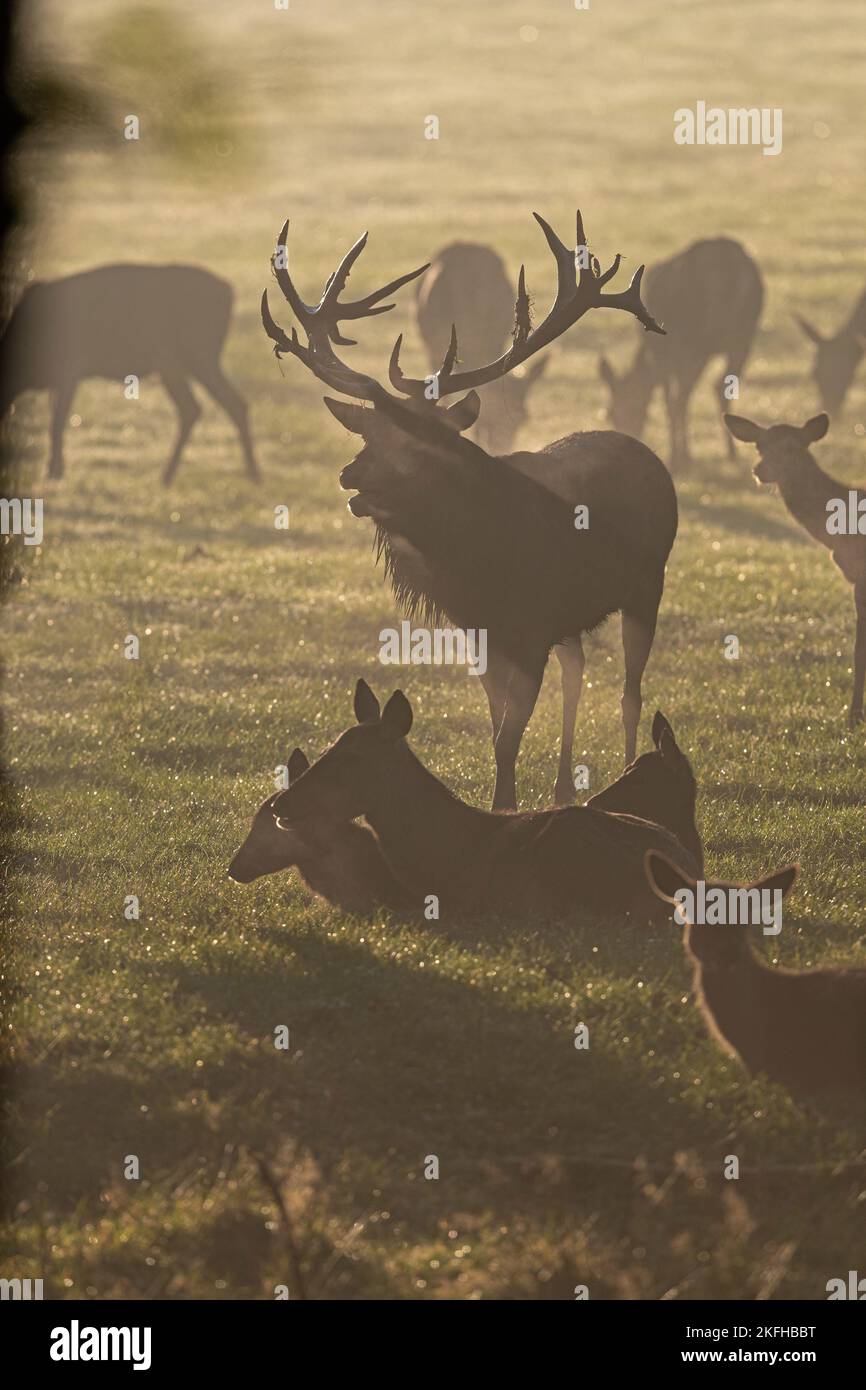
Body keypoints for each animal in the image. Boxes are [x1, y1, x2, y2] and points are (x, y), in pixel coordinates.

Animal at [0, 264, 259, 484]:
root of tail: (229, 292)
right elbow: (56, 418)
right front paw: (55, 469)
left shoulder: (69, 370)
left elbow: (58, 421)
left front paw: (54, 472)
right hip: (183, 363)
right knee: (209, 406)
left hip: (194, 358)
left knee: (213, 405)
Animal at [598, 238, 763, 470]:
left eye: (615, 411)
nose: (628, 437)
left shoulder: (663, 354)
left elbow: (669, 399)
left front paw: (678, 454)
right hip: (743, 335)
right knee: (718, 387)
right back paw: (730, 453)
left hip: (695, 341)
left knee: (686, 395)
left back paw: (683, 455)